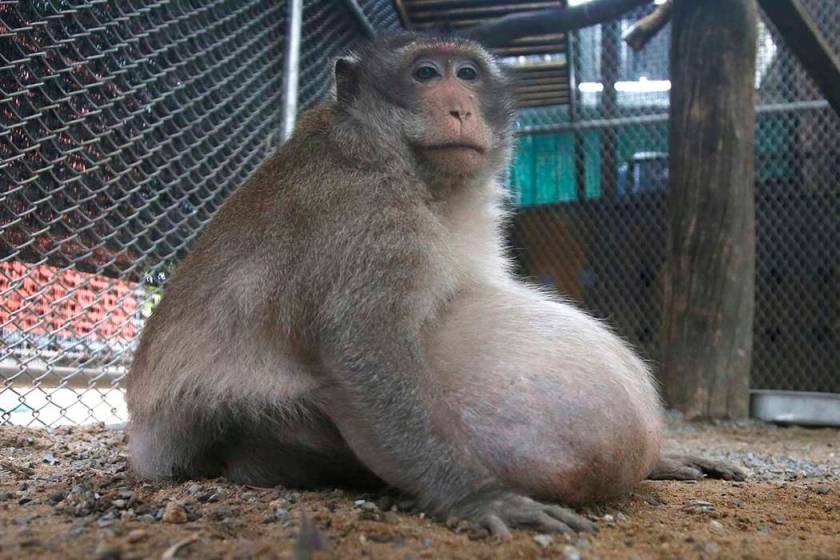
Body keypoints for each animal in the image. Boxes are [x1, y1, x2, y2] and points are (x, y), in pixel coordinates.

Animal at [125, 33, 744, 538]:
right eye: (425, 73)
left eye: (466, 74)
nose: (459, 106)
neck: (414, 172)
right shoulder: (365, 214)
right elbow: (360, 348)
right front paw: (475, 497)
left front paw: (664, 459)